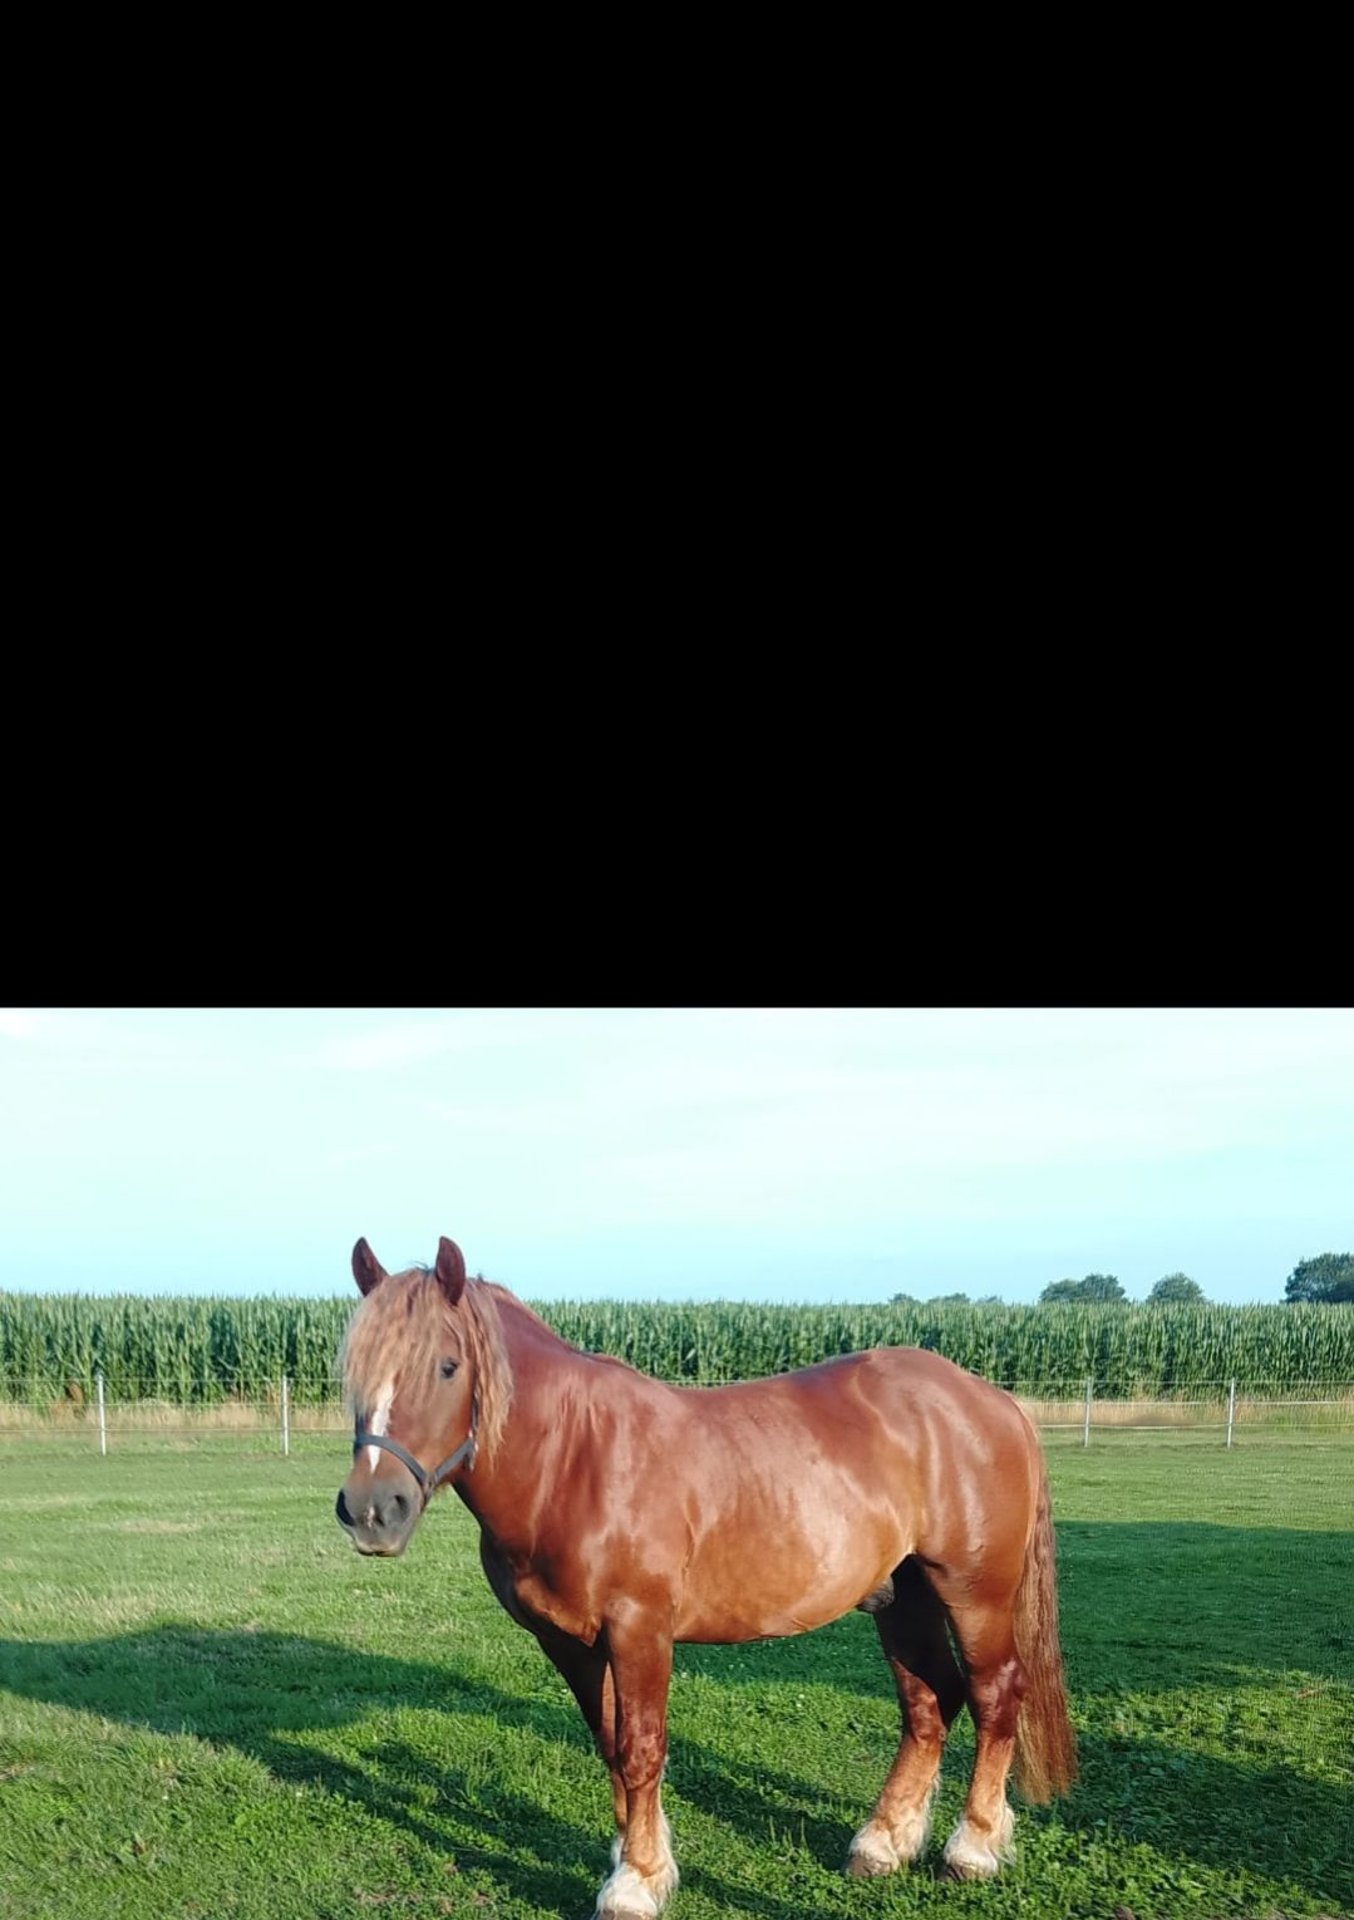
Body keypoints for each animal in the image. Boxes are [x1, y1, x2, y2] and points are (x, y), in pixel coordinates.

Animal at [335, 1238, 1077, 1919]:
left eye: (447, 1366)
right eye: (355, 1373)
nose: (372, 1510)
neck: (575, 1459)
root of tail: (991, 1400)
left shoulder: (640, 1628)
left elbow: (640, 1748)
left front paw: (633, 1884)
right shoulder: (568, 1642)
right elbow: (610, 1747)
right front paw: (637, 1859)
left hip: (974, 1593)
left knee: (993, 1695)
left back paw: (971, 1850)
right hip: (903, 1597)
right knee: (929, 1701)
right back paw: (882, 1844)